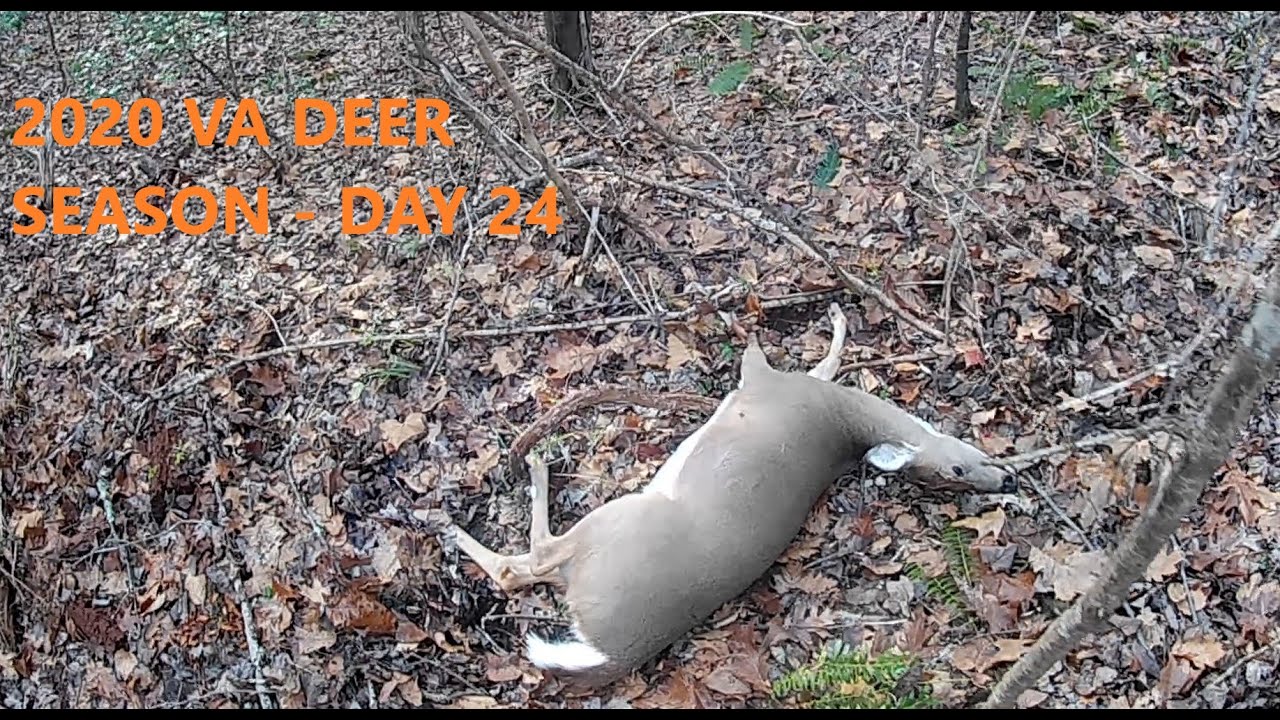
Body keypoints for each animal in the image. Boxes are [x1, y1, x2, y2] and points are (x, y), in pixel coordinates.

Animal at [442, 304, 1015, 688]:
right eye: (959, 470)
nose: (1003, 480)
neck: (845, 425)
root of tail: (610, 650)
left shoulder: (767, 380)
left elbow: (759, 353)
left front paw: (743, 313)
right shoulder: (800, 383)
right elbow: (828, 359)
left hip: (617, 524)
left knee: (523, 565)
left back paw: (506, 486)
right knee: (523, 569)